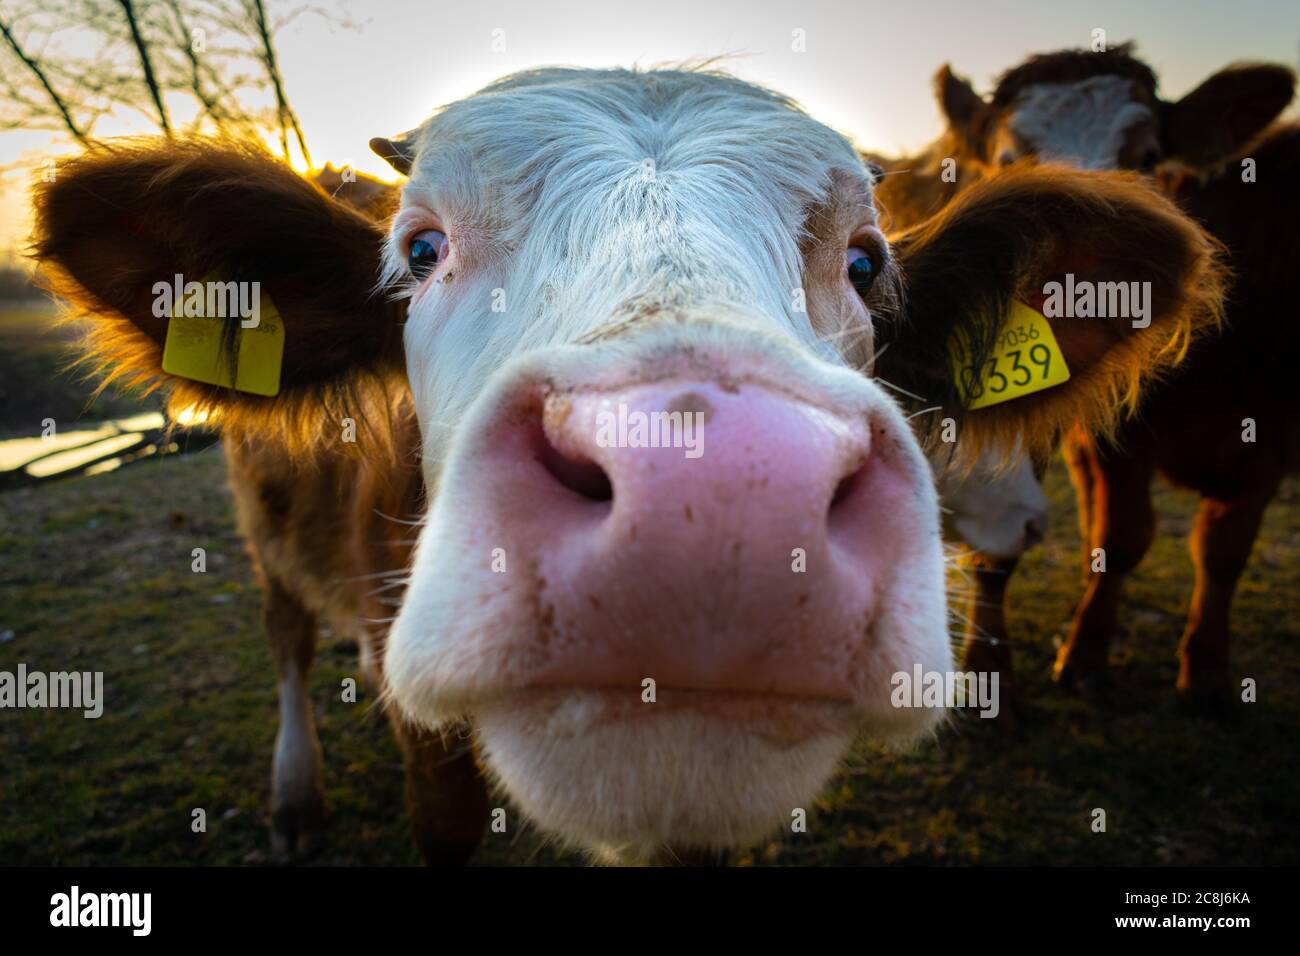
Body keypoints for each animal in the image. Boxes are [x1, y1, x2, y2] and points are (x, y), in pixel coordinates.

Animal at [870, 46, 1295, 712]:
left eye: (1148, 157)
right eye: (1007, 157)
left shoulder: (1264, 449)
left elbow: (1221, 553)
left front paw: (1205, 680)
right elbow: (1119, 537)